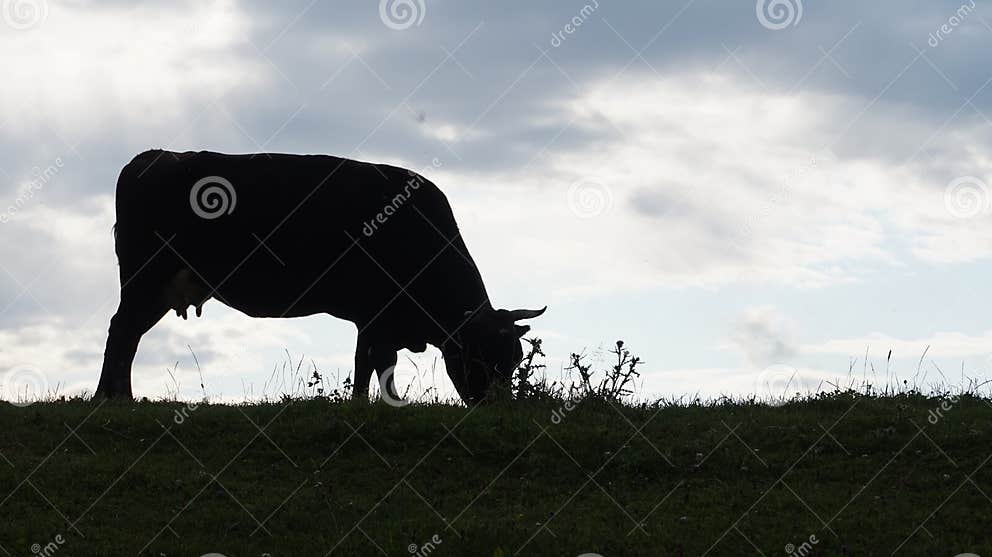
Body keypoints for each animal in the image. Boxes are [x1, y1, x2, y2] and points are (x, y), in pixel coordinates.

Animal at [95, 150, 545, 404]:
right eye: (480, 356)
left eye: (514, 359)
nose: (495, 407)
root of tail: (151, 156)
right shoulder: (378, 312)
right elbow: (379, 361)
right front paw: (387, 403)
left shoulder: (374, 318)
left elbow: (367, 361)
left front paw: (366, 403)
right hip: (144, 277)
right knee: (121, 330)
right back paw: (111, 397)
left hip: (158, 287)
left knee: (130, 334)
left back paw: (120, 396)